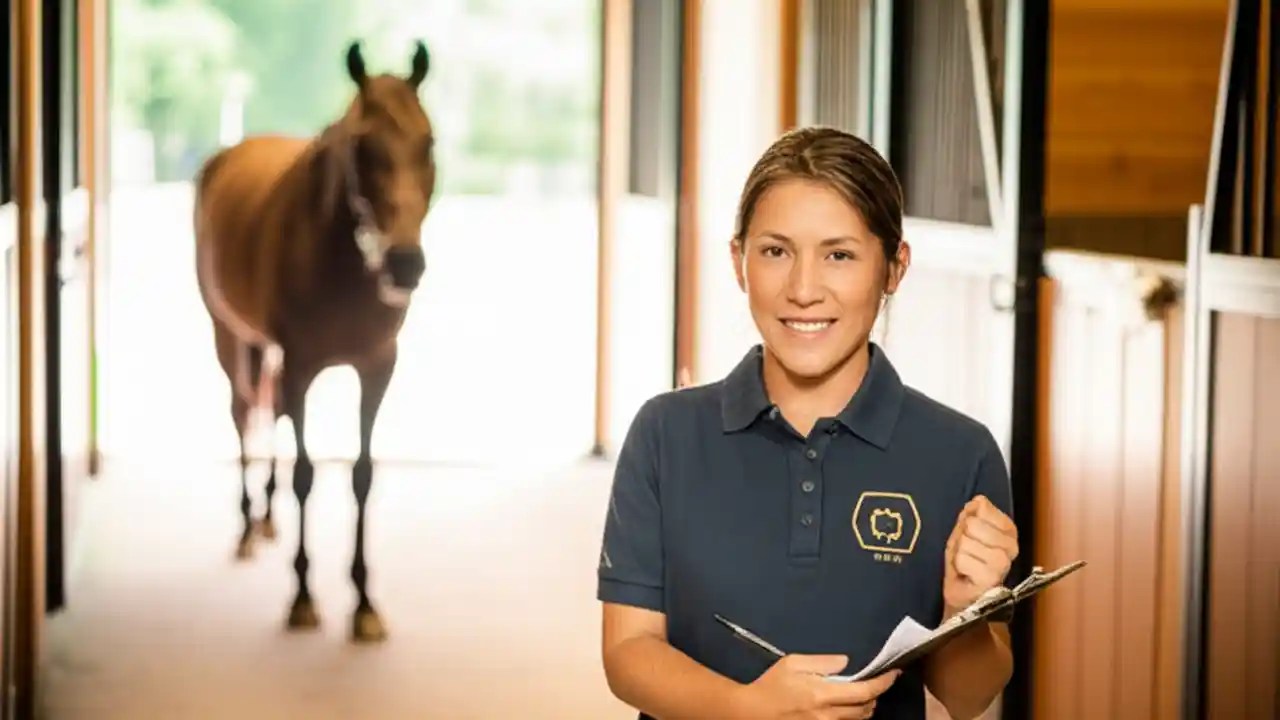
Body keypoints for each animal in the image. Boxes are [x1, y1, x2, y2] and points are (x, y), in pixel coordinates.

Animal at [192, 40, 436, 642]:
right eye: (363, 147)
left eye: (428, 143)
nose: (404, 264)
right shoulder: (301, 363)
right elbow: (305, 473)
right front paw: (302, 596)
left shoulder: (377, 367)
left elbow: (362, 475)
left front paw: (365, 602)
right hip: (230, 336)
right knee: (244, 414)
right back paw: (247, 525)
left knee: (269, 412)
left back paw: (266, 517)